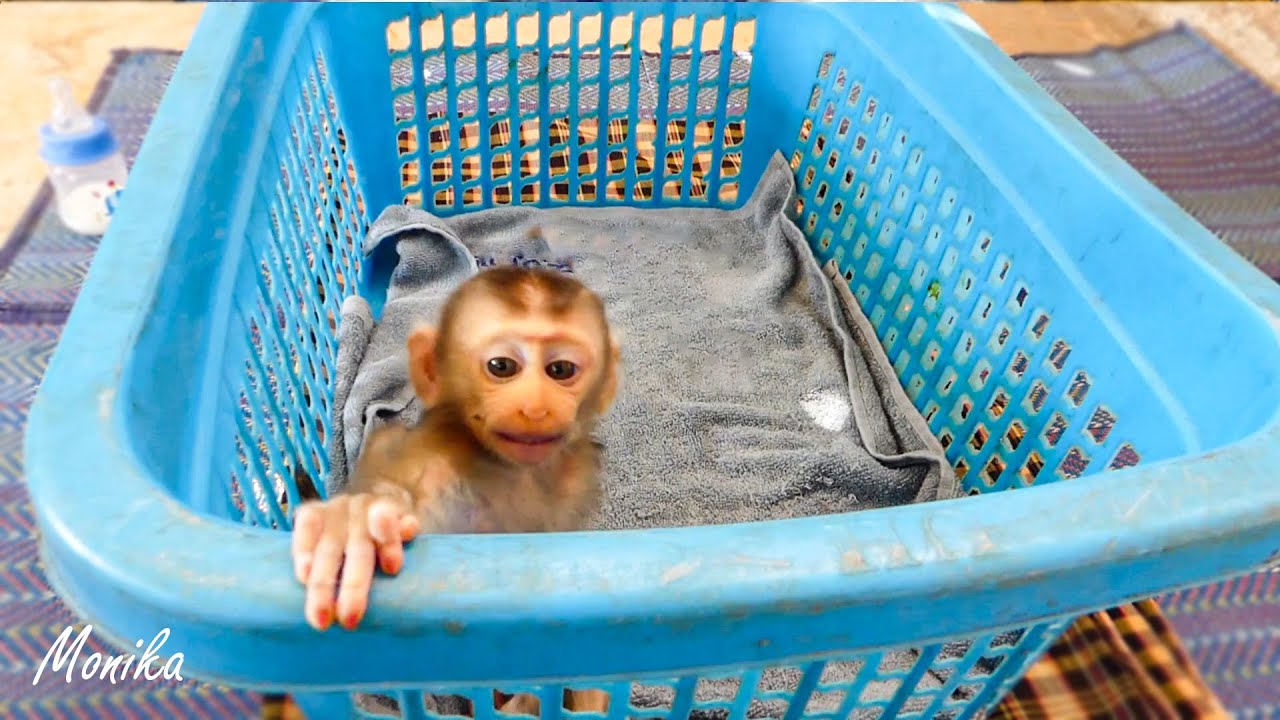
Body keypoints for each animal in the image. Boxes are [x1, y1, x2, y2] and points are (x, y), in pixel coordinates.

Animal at [289, 265, 620, 716]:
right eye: (501, 366)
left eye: (561, 370)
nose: (536, 408)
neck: (509, 469)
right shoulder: (435, 465)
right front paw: (352, 527)